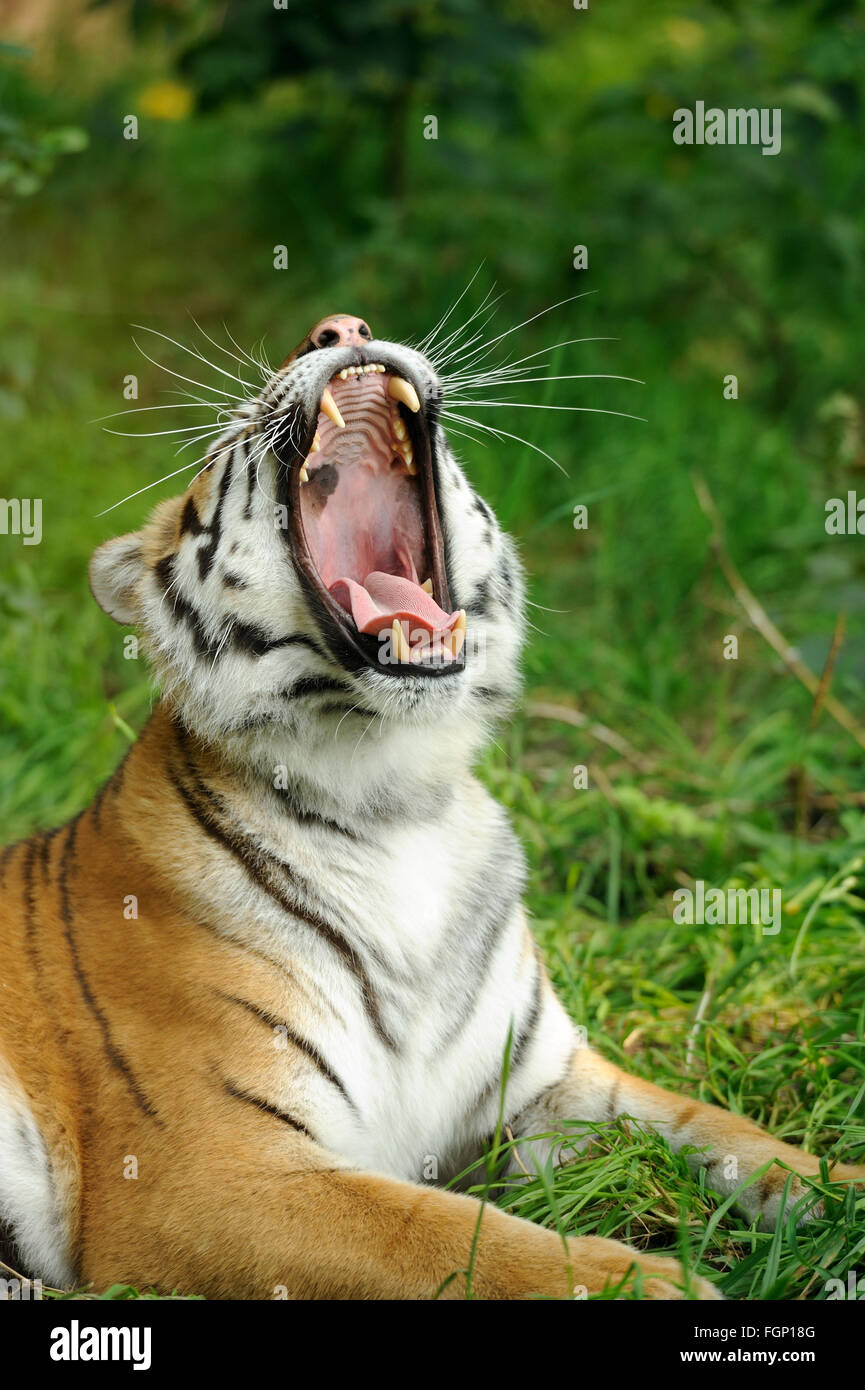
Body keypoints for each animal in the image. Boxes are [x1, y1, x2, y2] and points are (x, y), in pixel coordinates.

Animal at [0, 311, 861, 1302]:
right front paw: (650, 1284)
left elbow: (725, 1134)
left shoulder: (545, 1083)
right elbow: (450, 1237)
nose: (338, 326)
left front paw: (843, 1194)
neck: (396, 794)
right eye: (220, 457)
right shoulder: (208, 1170)